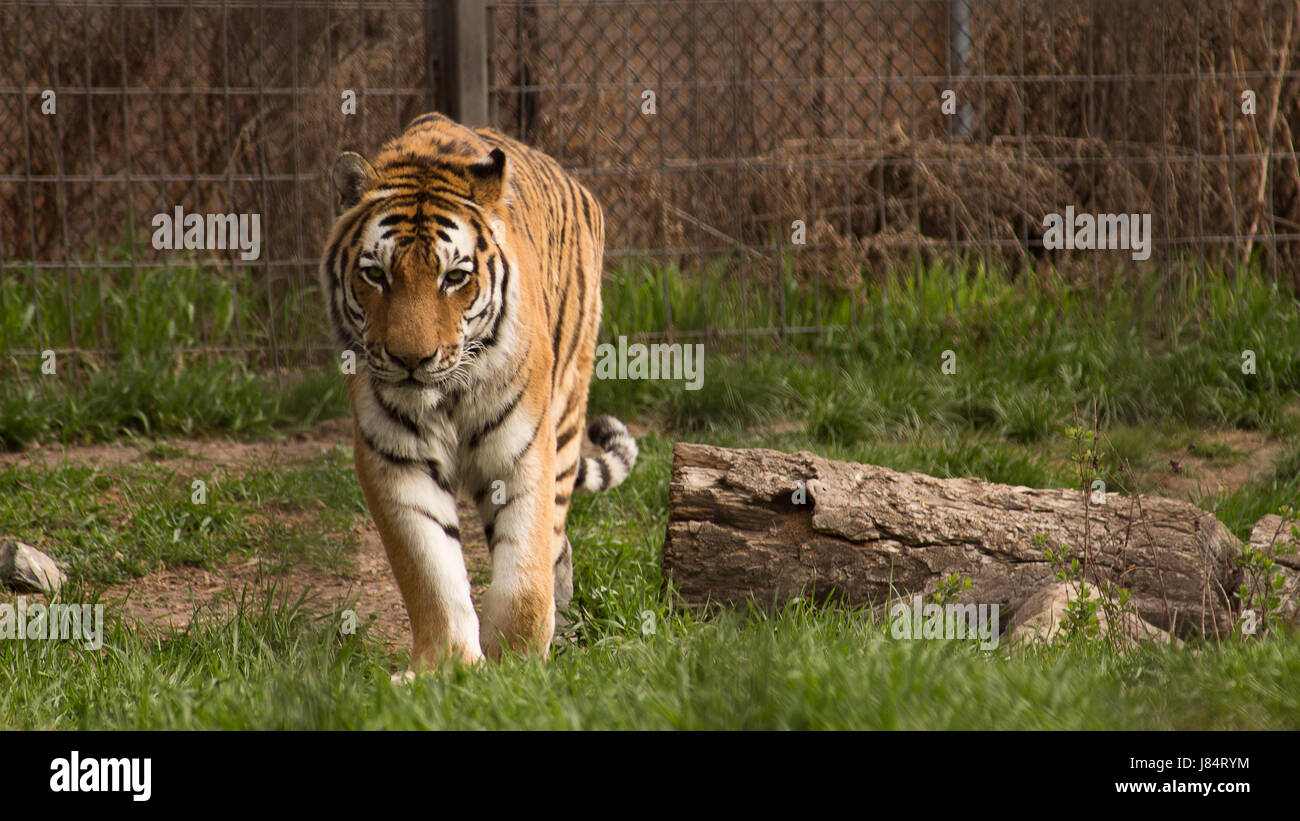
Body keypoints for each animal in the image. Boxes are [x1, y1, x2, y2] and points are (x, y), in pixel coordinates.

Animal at [319, 111, 637, 671]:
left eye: (454, 277)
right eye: (375, 274)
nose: (411, 360)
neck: (447, 397)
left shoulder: (524, 453)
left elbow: (525, 577)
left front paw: (518, 664)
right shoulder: (396, 459)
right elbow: (431, 573)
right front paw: (449, 668)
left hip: (568, 415)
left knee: (556, 542)